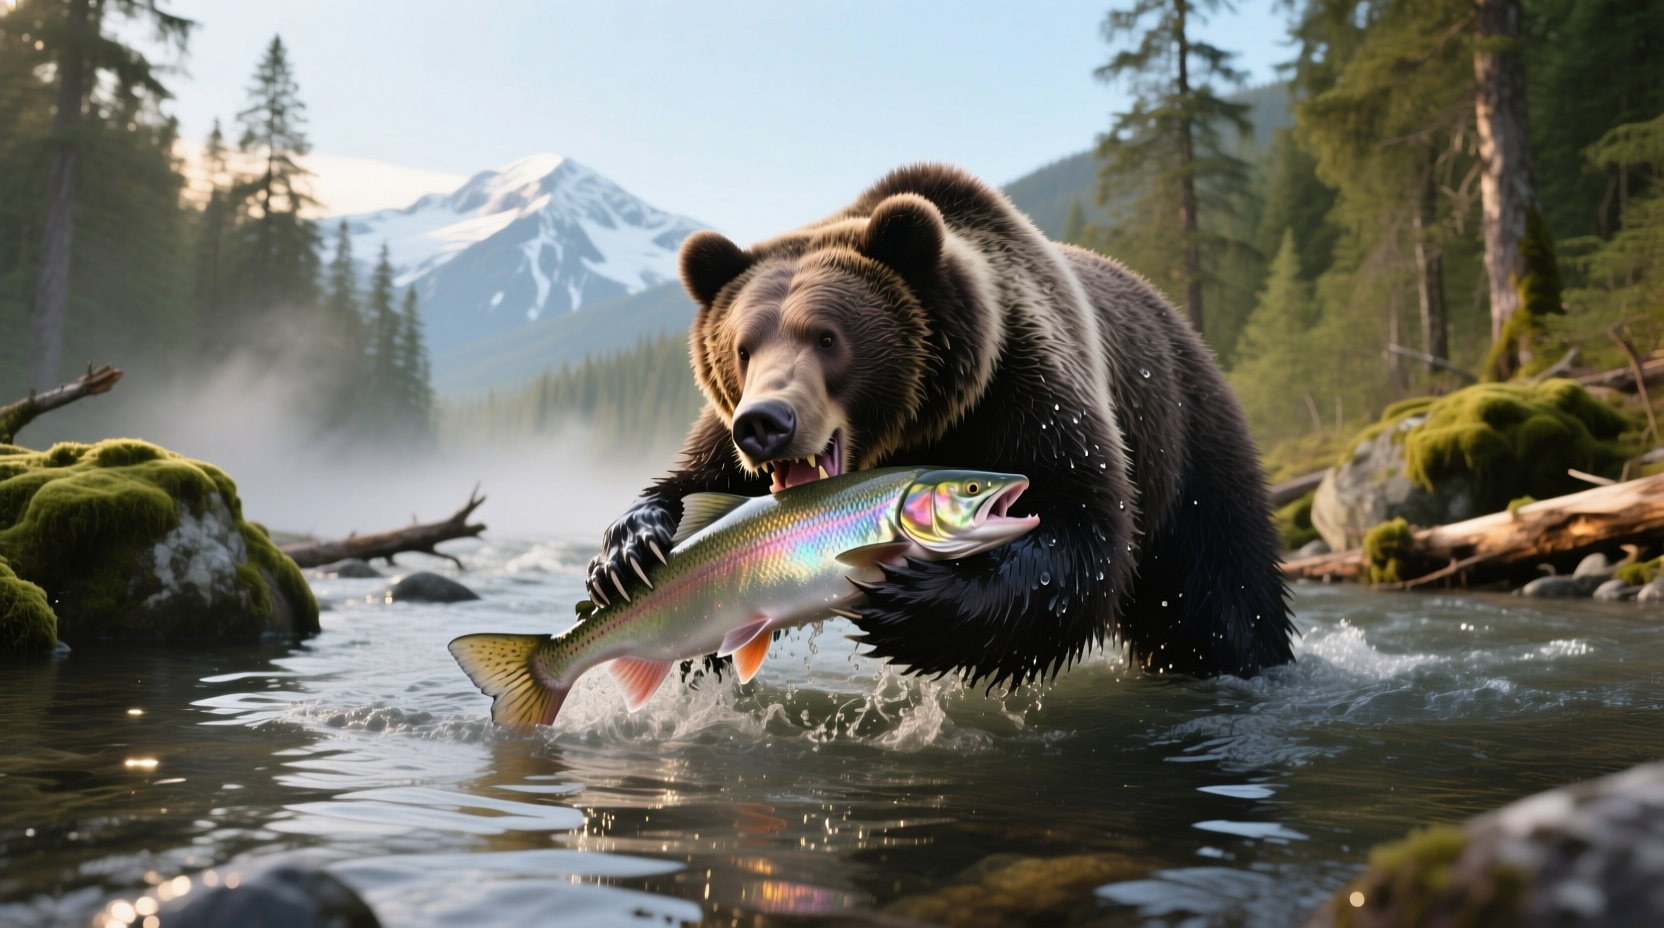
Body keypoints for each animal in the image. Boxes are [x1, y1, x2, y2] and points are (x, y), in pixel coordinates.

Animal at [585, 164, 1295, 685]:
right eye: (742, 348)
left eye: (827, 337)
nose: (764, 423)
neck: (924, 422)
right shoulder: (720, 431)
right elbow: (691, 483)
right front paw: (628, 552)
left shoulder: (1028, 387)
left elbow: (1081, 531)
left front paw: (907, 596)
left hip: (1188, 438)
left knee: (1220, 596)